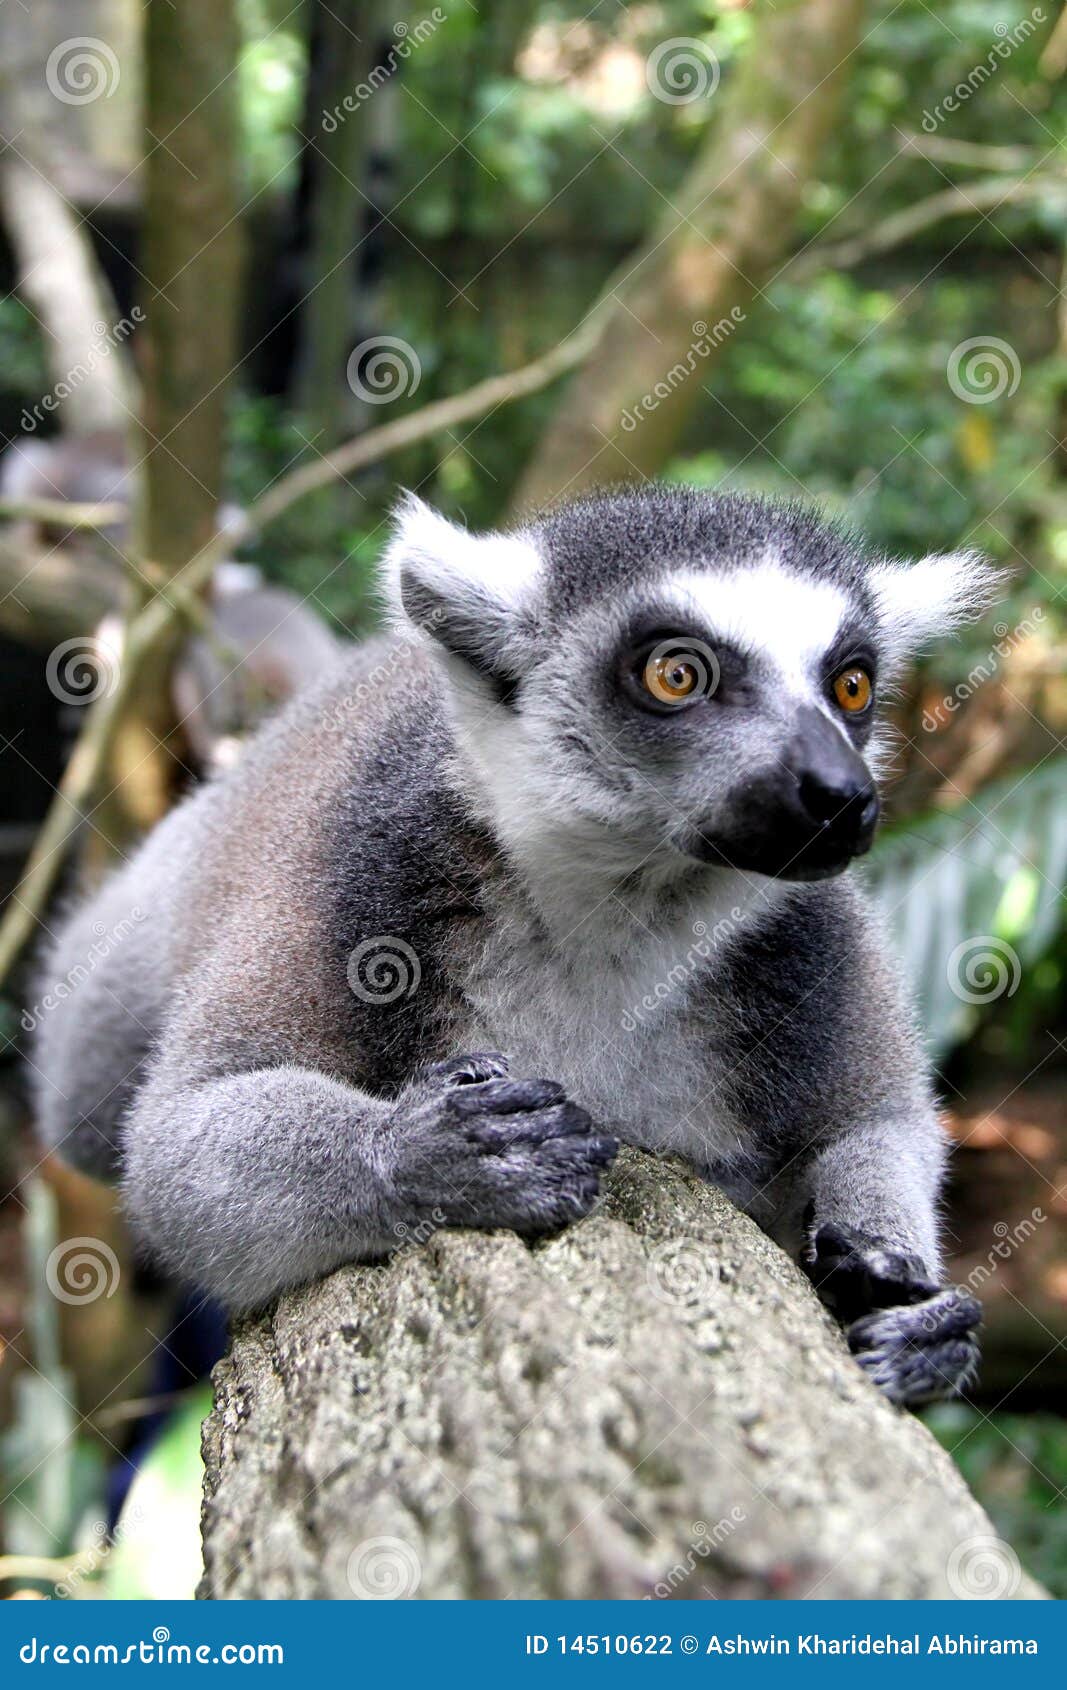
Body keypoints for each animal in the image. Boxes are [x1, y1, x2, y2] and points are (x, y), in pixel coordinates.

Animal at [30, 487, 995, 1406]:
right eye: (676, 673)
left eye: (852, 687)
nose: (839, 795)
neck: (620, 914)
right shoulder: (359, 871)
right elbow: (174, 1145)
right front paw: (429, 1157)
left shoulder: (809, 936)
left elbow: (879, 1120)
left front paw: (895, 1296)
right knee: (89, 1107)